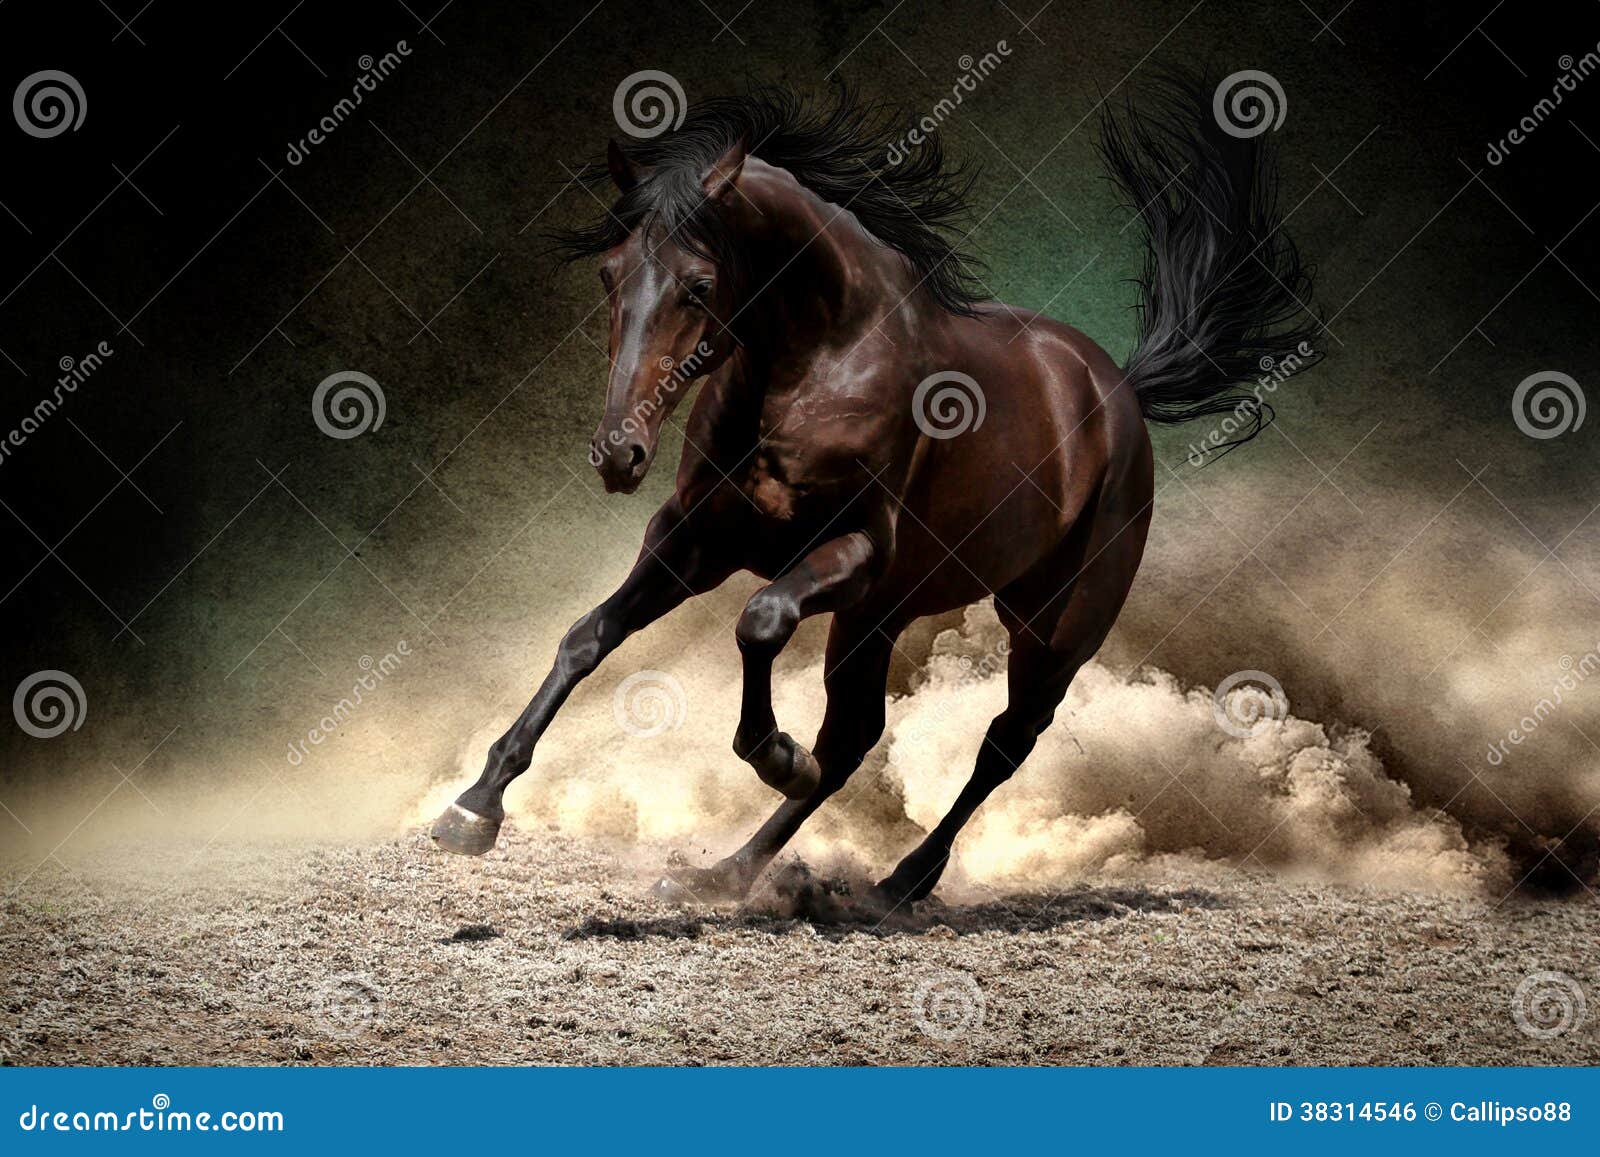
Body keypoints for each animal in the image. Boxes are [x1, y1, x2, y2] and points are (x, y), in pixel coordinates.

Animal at [430, 77, 1318, 910]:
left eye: (699, 285)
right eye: (610, 274)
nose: (619, 452)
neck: (817, 363)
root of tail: (1117, 392)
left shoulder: (854, 554)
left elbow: (759, 621)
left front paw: (776, 754)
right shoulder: (693, 540)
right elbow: (588, 637)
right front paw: (474, 806)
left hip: (1050, 627)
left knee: (1003, 742)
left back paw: (902, 880)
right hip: (881, 616)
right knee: (855, 738)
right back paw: (722, 874)